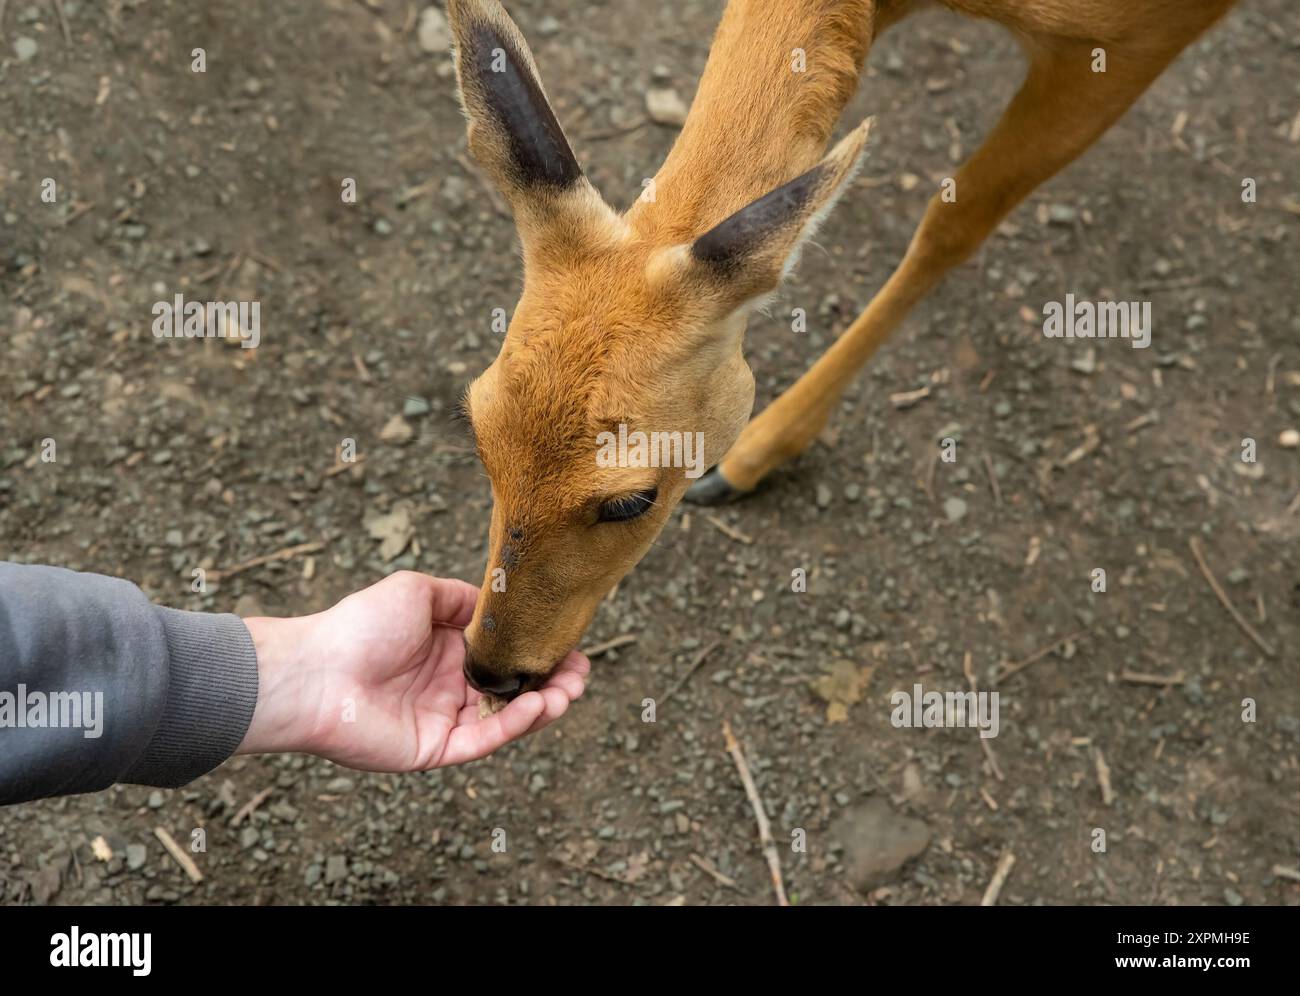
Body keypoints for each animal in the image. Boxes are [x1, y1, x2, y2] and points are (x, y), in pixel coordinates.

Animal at [444, 0, 1239, 701]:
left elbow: (957, 218)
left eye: (632, 498)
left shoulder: (1137, 39)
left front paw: (751, 458)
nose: (491, 671)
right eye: (477, 425)